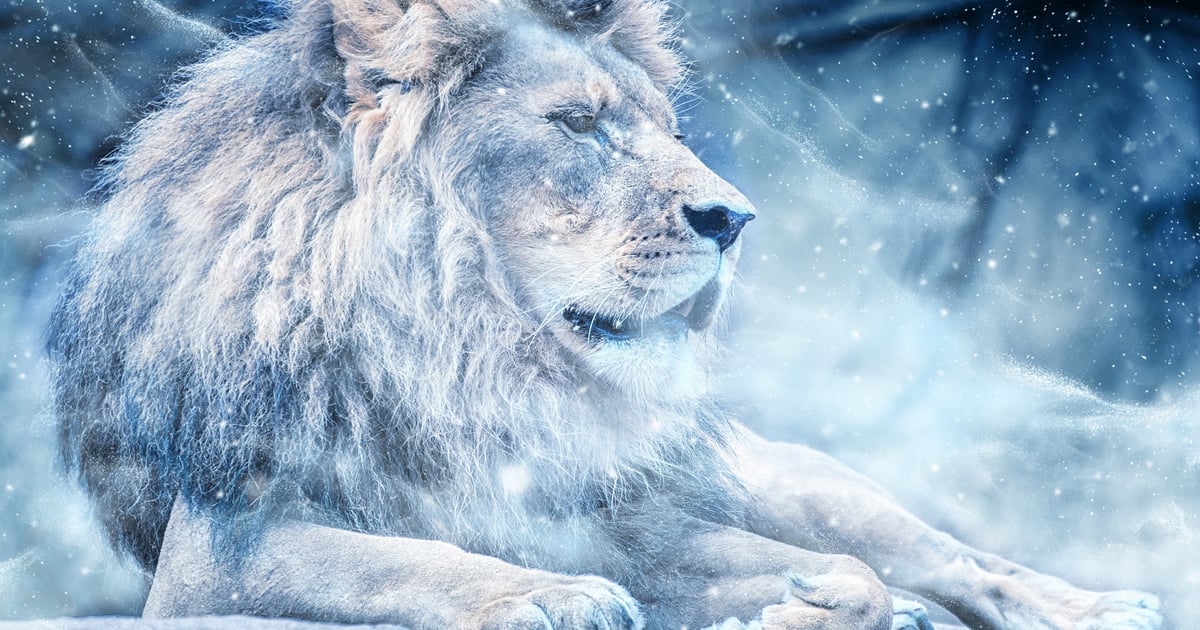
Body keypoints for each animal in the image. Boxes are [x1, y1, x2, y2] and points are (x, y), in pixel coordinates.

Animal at [47, 0, 1165, 628]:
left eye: (665, 130)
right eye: (579, 125)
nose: (734, 218)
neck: (467, 358)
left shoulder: (634, 526)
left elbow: (849, 574)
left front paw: (813, 610)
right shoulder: (216, 551)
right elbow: (386, 558)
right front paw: (540, 595)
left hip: (804, 484)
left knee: (957, 559)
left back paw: (1103, 606)